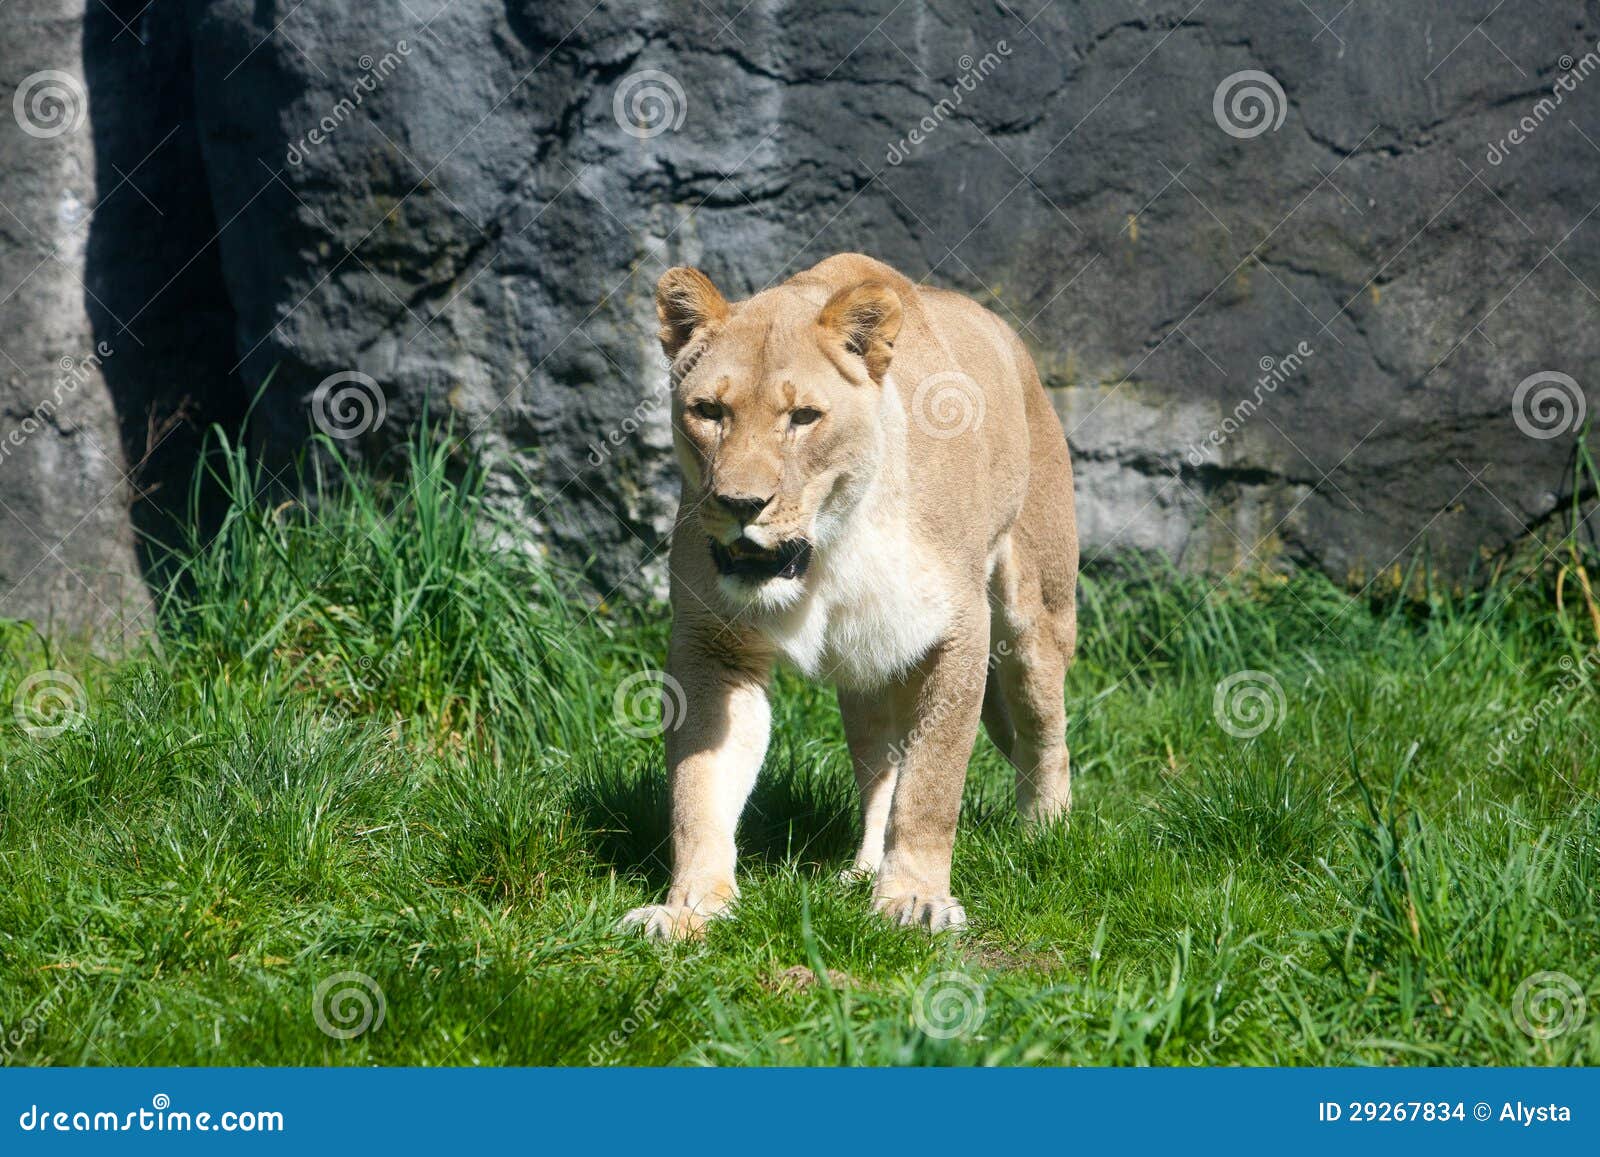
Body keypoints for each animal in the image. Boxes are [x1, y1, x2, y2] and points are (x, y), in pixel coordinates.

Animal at [620, 253, 1078, 939]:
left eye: (803, 417)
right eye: (709, 411)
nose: (740, 504)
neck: (828, 547)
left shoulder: (959, 631)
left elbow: (931, 782)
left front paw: (915, 900)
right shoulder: (713, 646)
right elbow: (700, 785)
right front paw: (690, 909)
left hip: (1035, 617)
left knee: (1044, 730)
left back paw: (1046, 836)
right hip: (870, 670)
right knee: (879, 771)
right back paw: (863, 871)